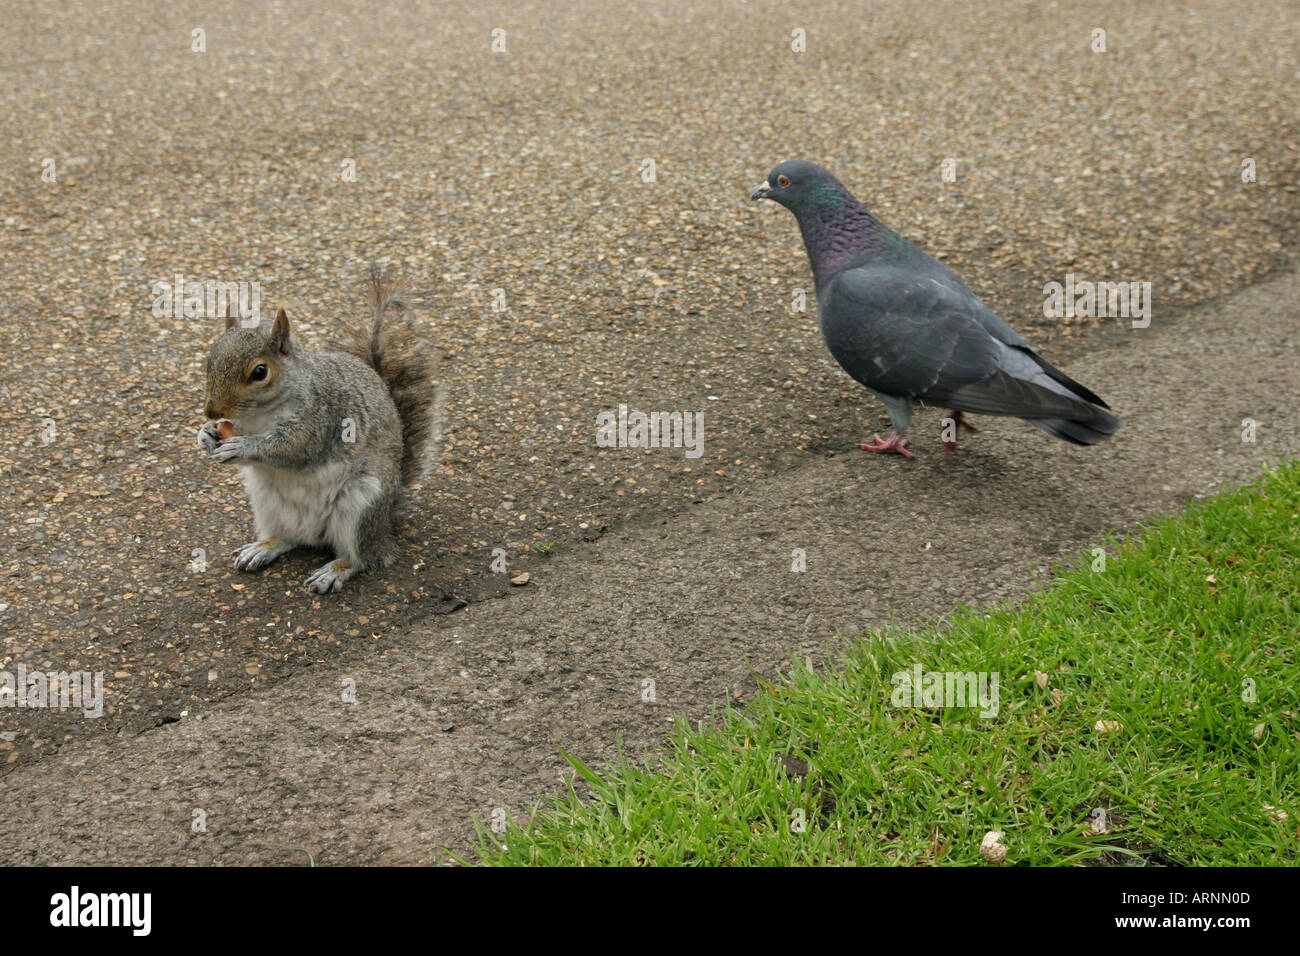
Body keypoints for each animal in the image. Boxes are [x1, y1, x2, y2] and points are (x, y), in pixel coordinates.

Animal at [198, 267, 436, 593]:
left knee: (365, 557)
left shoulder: (323, 418)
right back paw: (263, 547)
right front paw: (206, 434)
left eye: (260, 372)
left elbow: (295, 449)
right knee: (291, 538)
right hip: (266, 501)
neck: (261, 415)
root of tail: (388, 518)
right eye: (210, 360)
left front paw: (244, 446)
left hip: (360, 503)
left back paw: (336, 570)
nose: (212, 411)